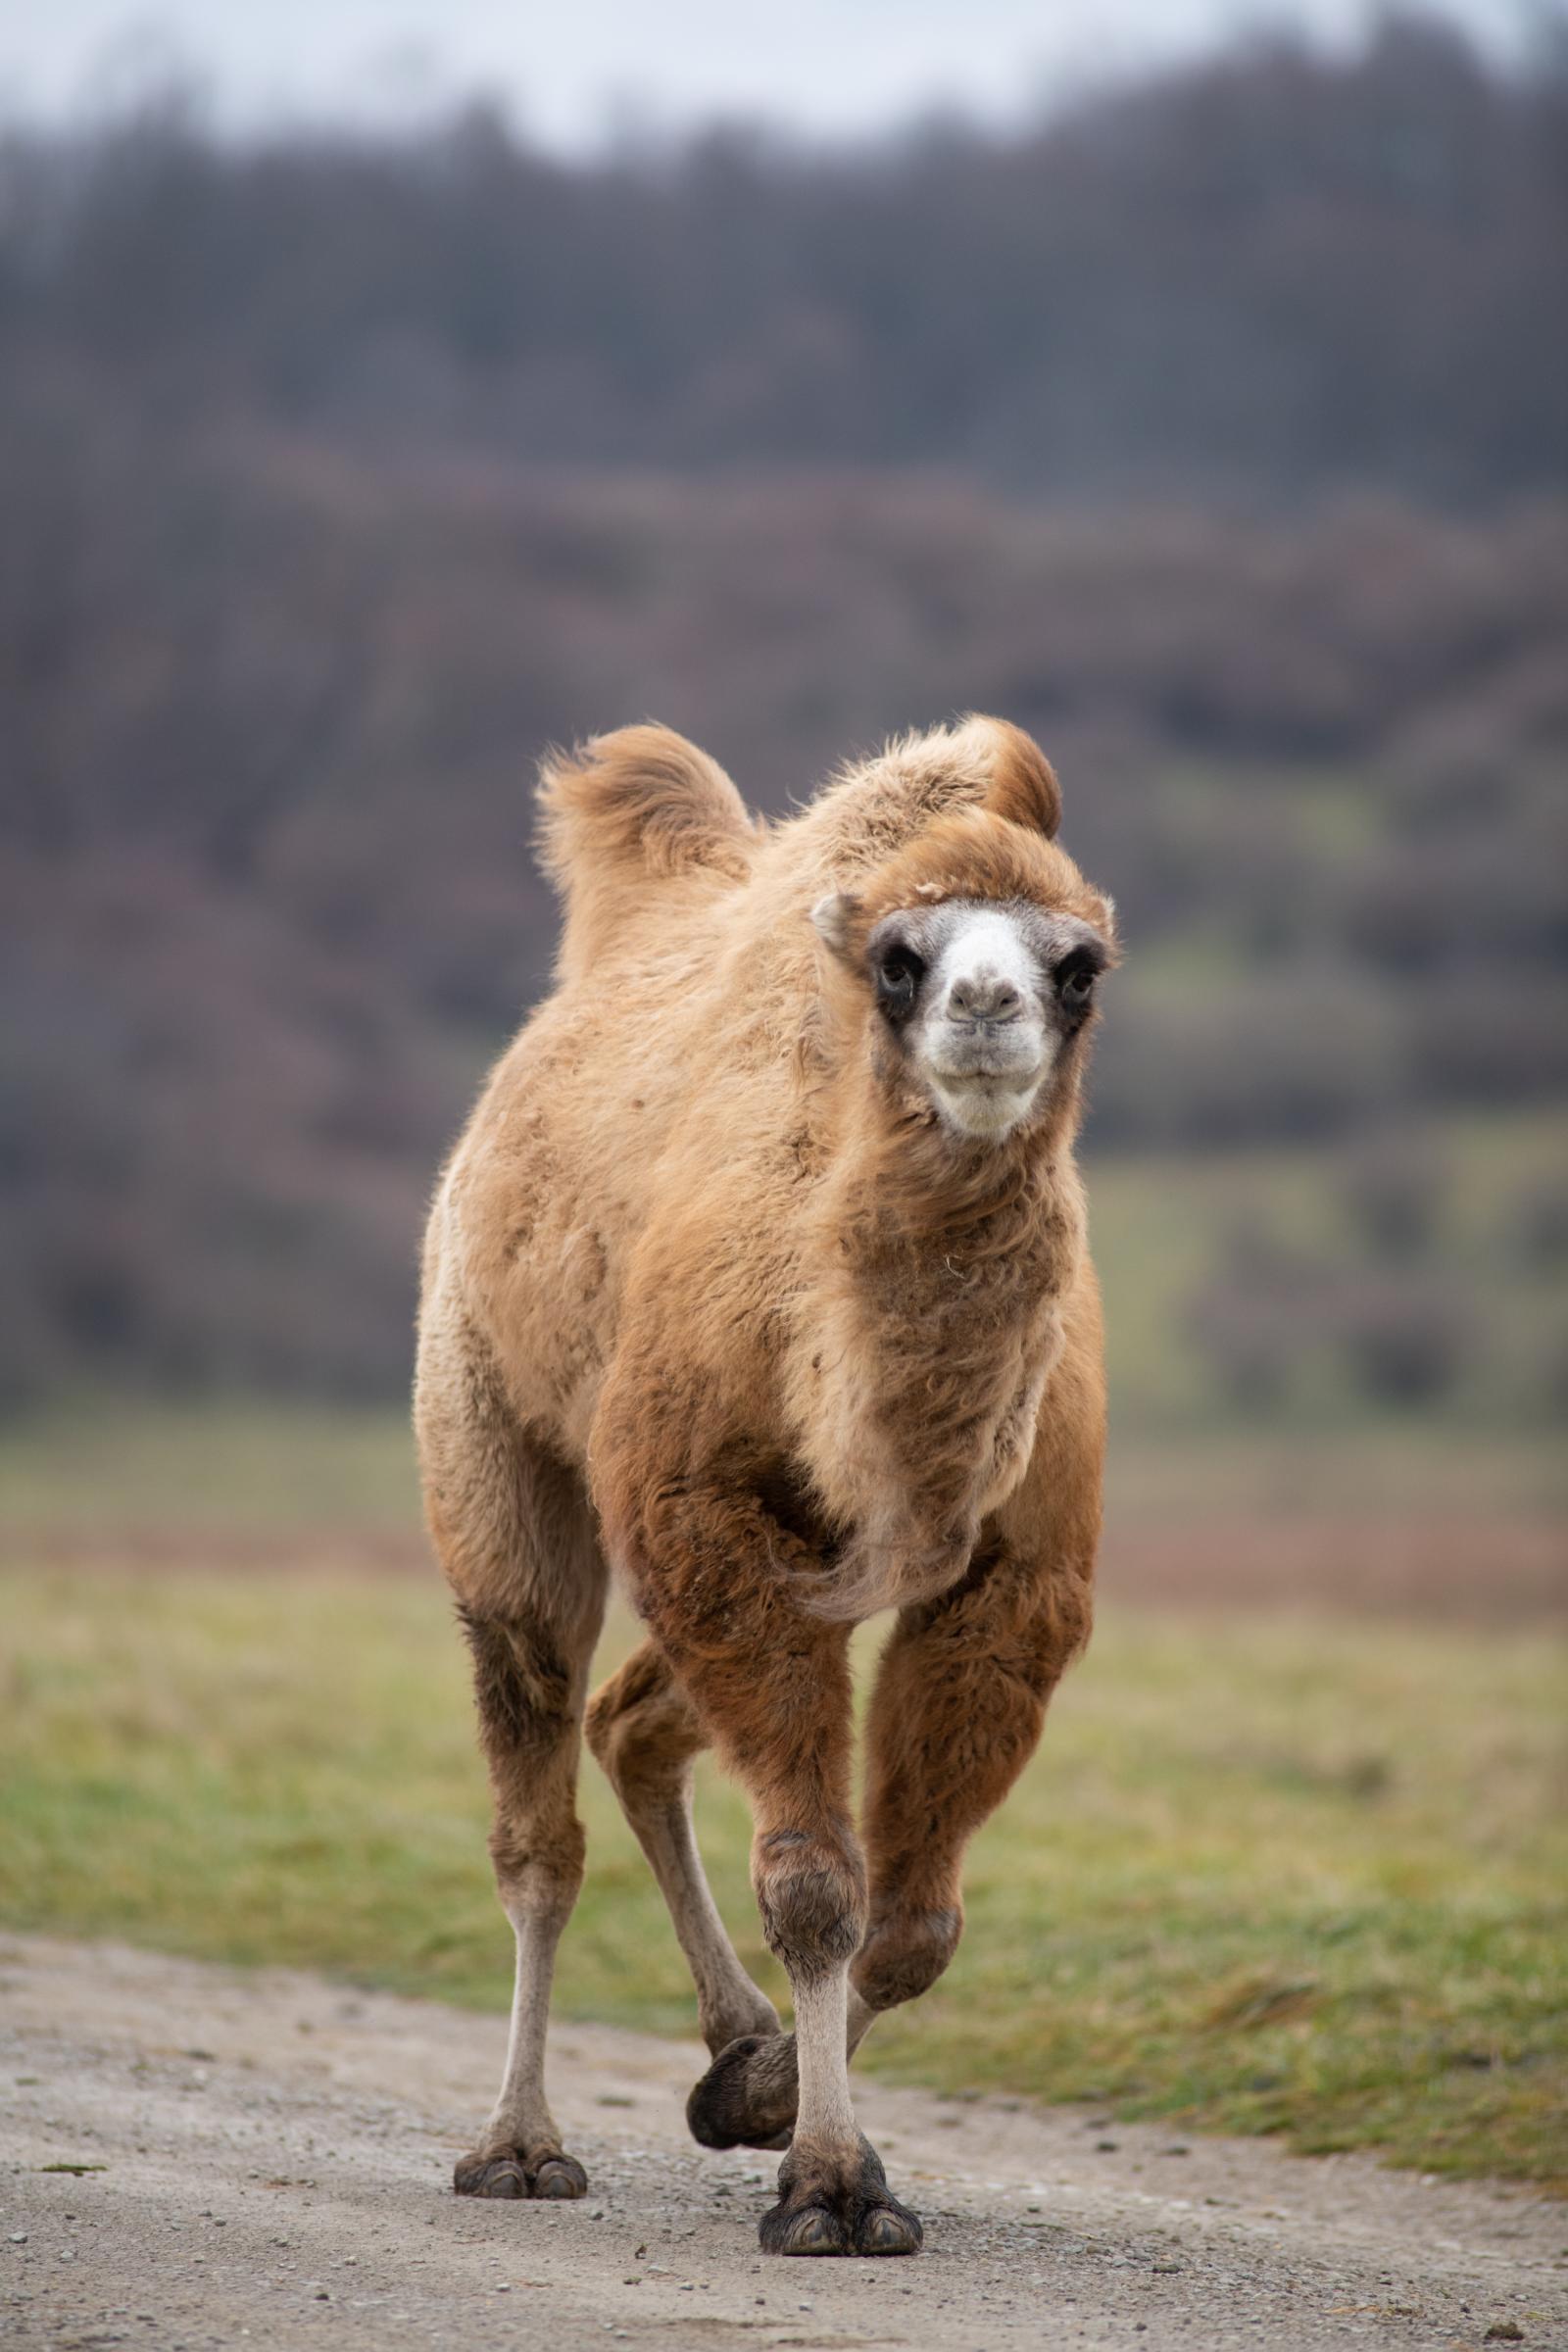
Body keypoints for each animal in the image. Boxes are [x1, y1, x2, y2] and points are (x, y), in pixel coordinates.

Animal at [414, 715, 1117, 2258]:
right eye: (900, 958)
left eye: (1078, 968)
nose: (989, 1007)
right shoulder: (702, 1512)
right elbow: (814, 1886)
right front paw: (831, 2185)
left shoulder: (1009, 1575)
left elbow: (912, 1923)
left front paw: (759, 2096)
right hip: (492, 1435)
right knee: (536, 1812)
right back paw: (518, 2148)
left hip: (803, 1579)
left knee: (630, 1724)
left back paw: (728, 2039)